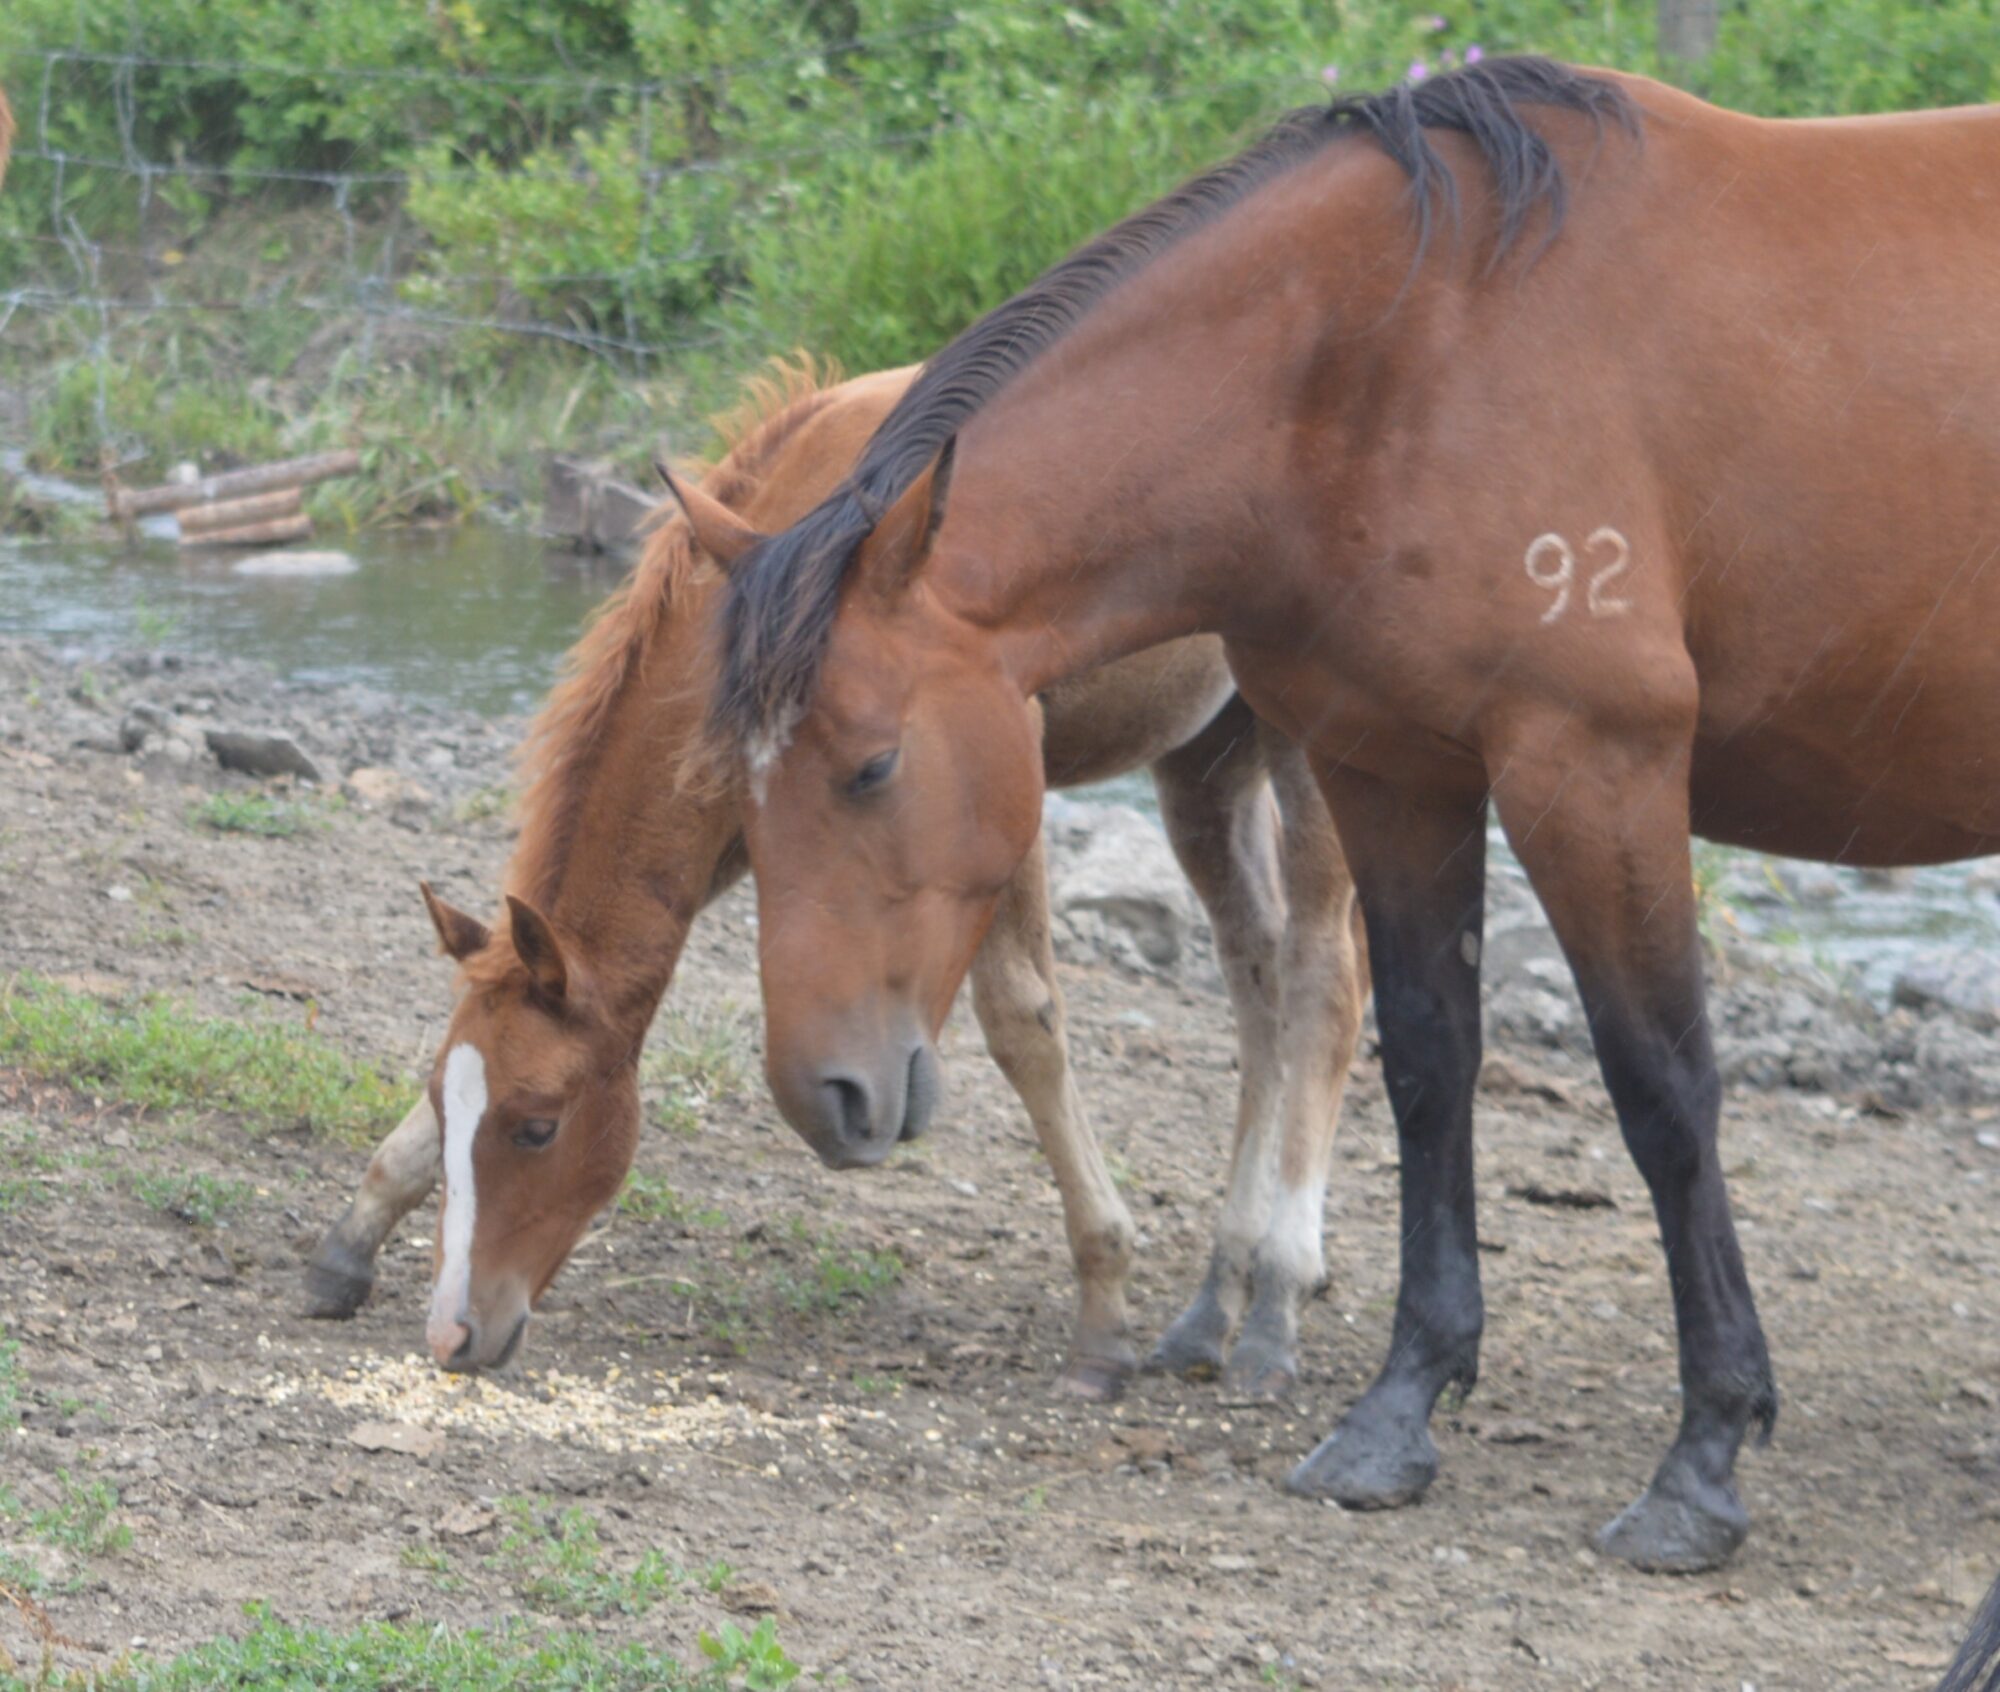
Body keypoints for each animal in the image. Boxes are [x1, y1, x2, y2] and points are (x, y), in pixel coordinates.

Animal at [306, 359, 1369, 1401]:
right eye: (453, 1107)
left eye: (537, 1127)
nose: (454, 1332)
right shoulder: (743, 820)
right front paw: (353, 1236)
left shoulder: (992, 764)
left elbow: (1023, 1021)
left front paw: (1104, 1307)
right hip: (1208, 759)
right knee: (1257, 981)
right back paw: (1215, 1303)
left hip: (1308, 740)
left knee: (1324, 979)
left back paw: (1274, 1298)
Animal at [703, 56, 2000, 1574]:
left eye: (870, 767)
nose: (824, 1092)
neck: (1397, 346)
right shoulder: (1394, 772)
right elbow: (1428, 1067)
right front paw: (1398, 1413)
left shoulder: (1594, 771)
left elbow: (1662, 1091)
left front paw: (1705, 1458)